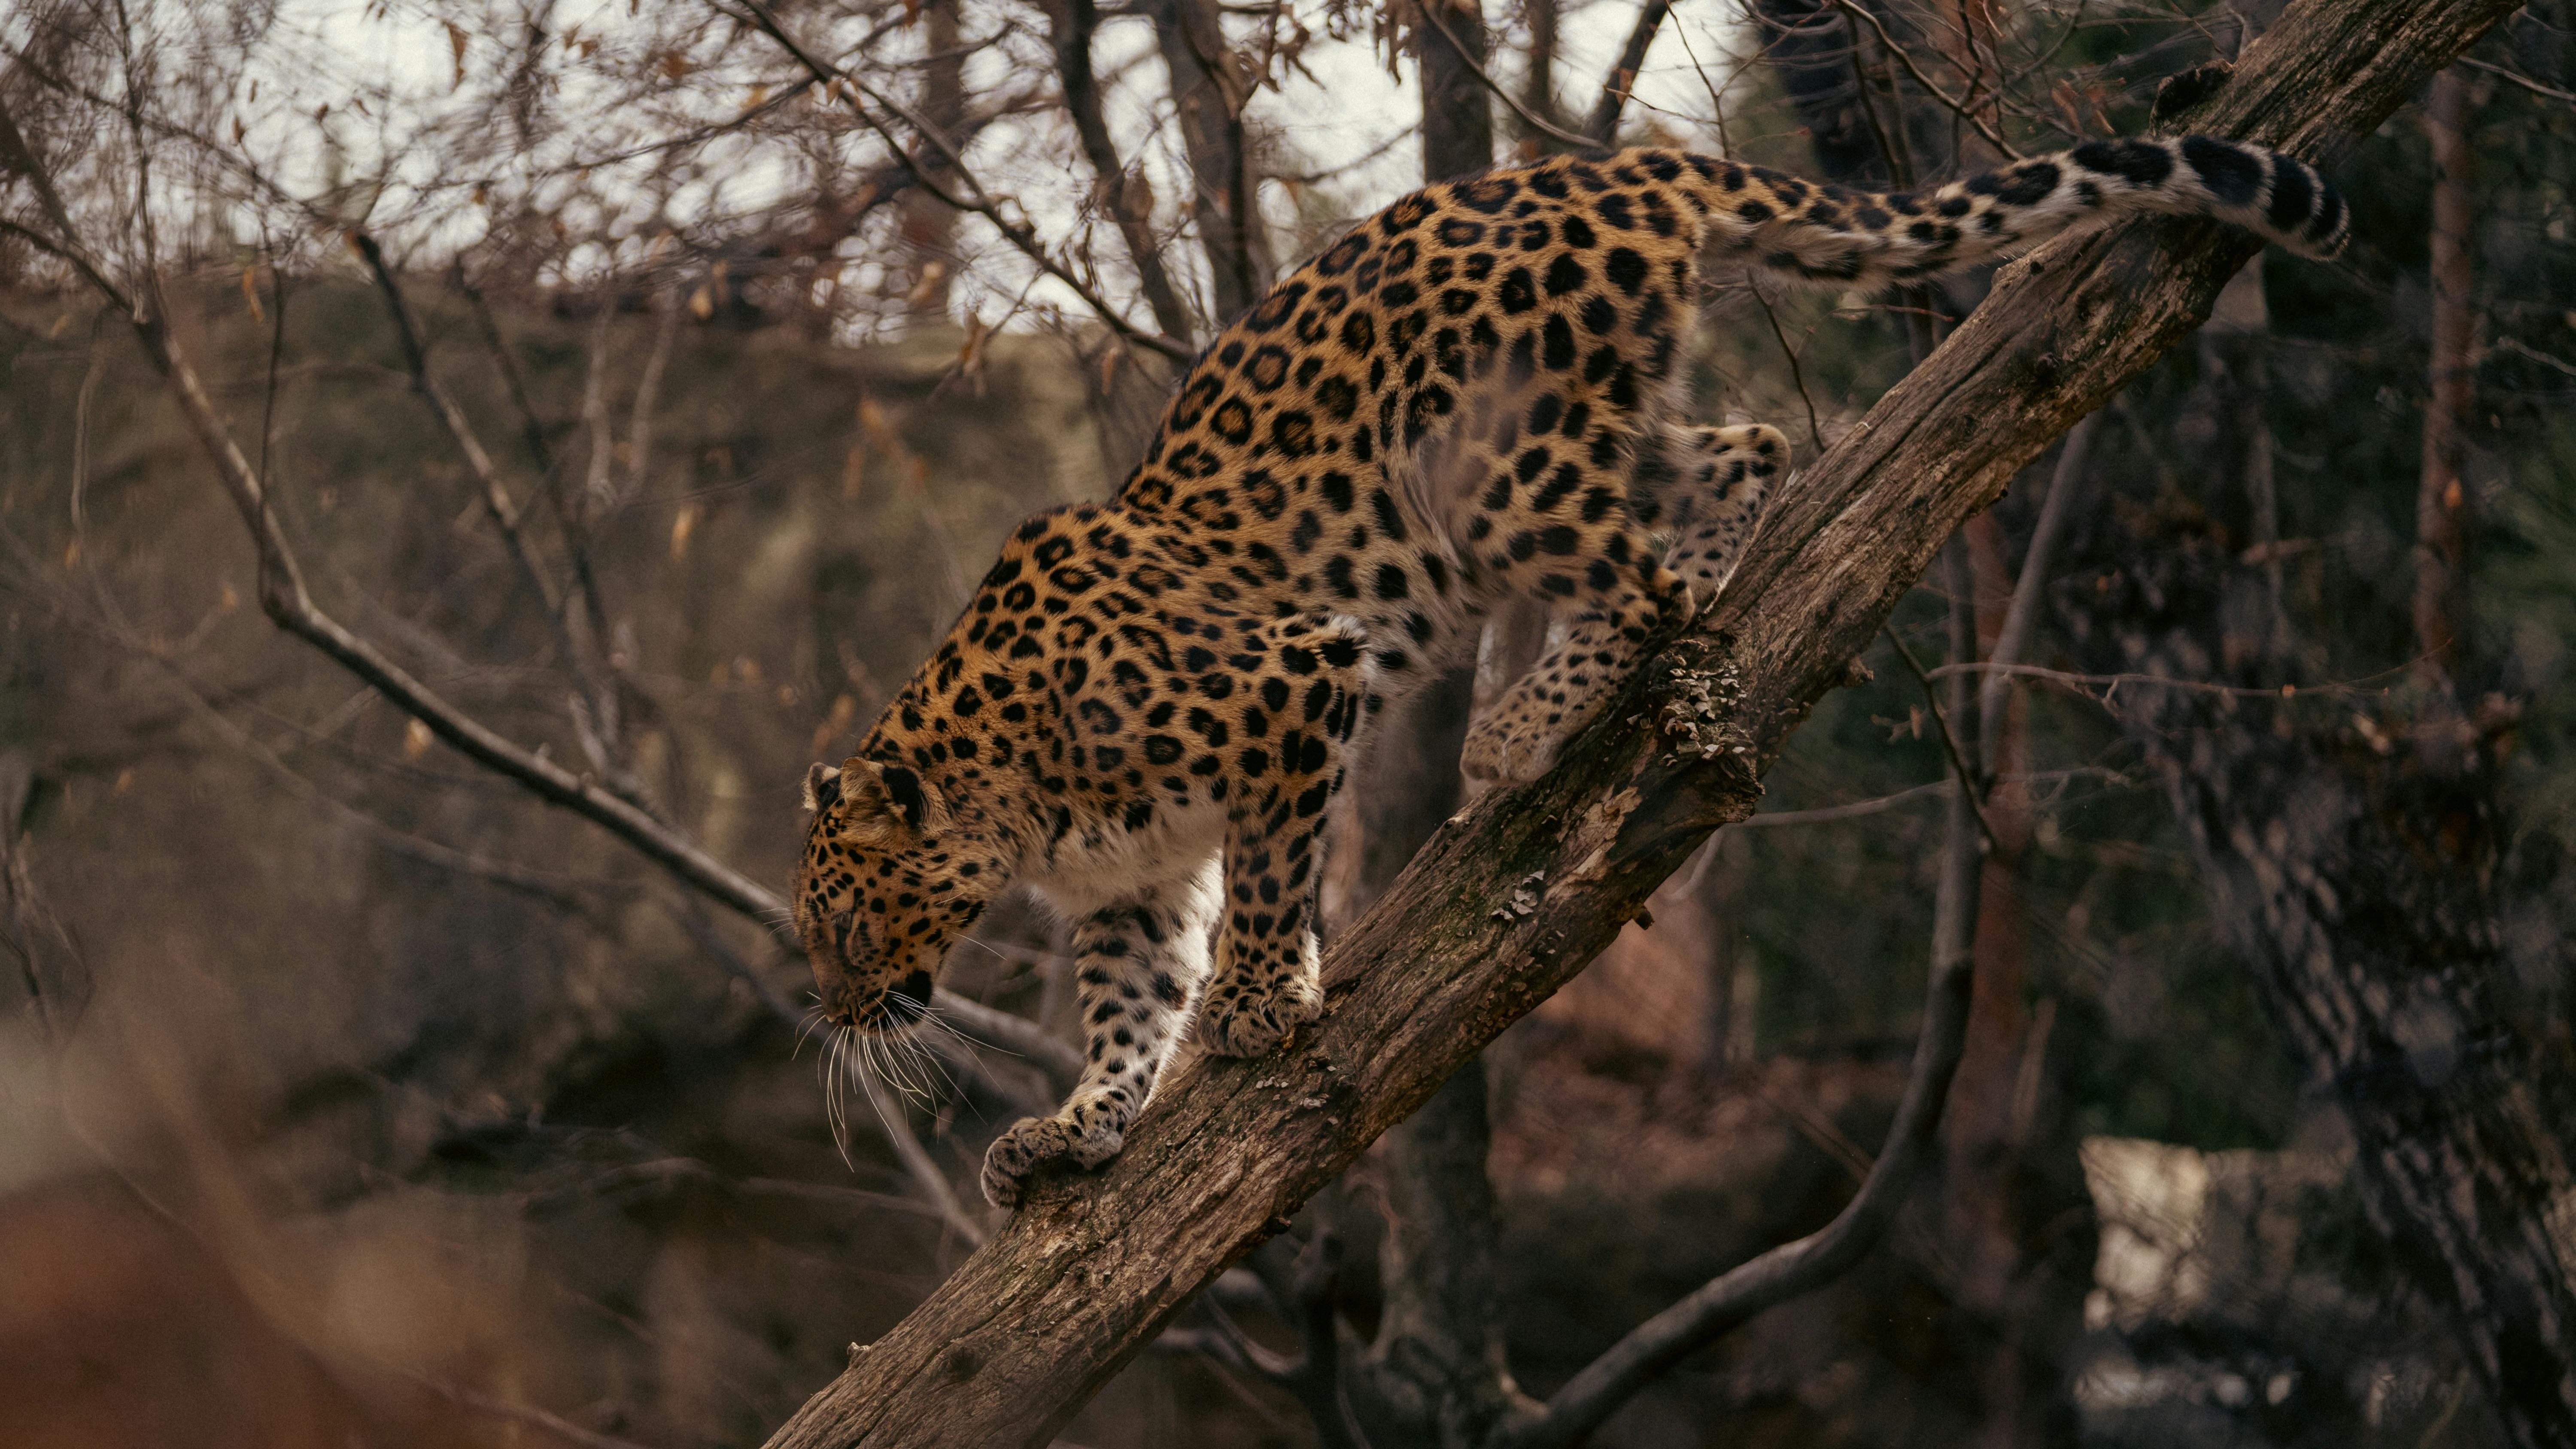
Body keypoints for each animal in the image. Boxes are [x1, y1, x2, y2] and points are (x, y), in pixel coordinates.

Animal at [790, 134, 2347, 1208]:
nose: (836, 1014)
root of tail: (1619, 160)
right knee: (1747, 454)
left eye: (845, 923)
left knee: (1668, 557)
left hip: (1491, 472)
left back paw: (1530, 723)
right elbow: (1126, 1012)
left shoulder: (1291, 687)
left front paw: (1259, 1005)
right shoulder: (1133, 886)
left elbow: (1272, 888)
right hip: (1570, 450)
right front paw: (1075, 1134)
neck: (1015, 797)